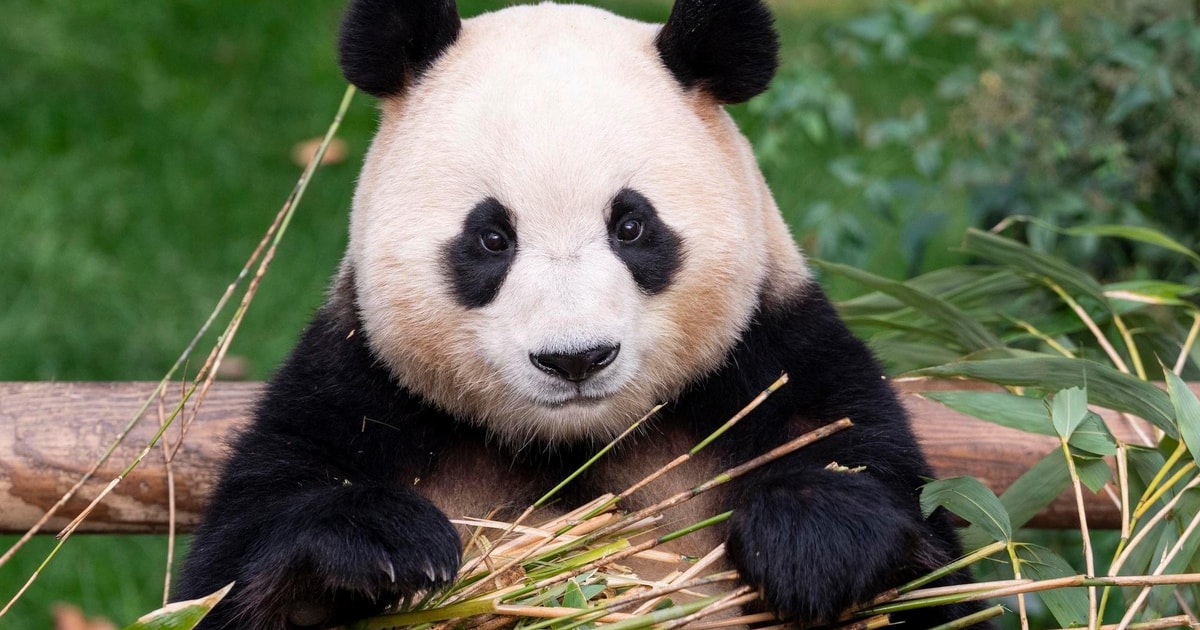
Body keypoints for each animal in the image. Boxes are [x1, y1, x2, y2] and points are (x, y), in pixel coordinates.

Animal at [176, 1, 983, 628]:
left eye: (631, 226)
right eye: (491, 237)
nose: (575, 359)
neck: (573, 445)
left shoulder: (783, 362)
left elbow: (918, 552)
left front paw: (810, 539)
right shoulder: (351, 393)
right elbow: (225, 578)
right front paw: (383, 544)